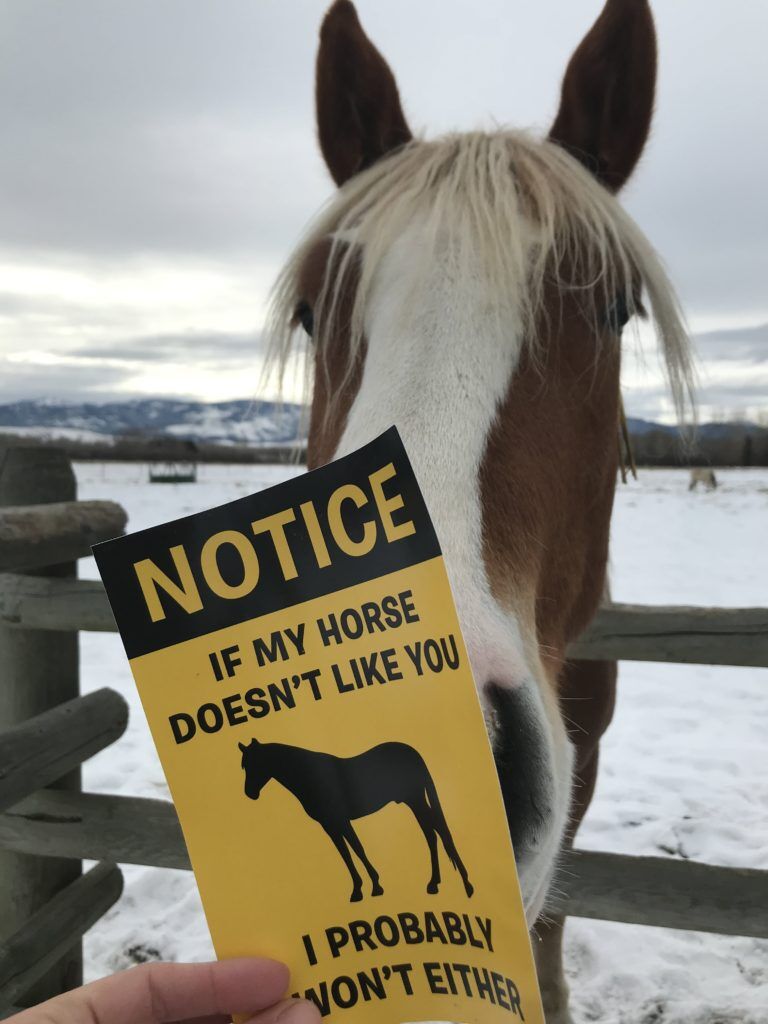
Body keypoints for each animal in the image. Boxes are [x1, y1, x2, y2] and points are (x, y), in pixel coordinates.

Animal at [238, 737, 473, 903]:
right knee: (432, 833)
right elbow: (346, 854)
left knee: (438, 831)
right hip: (413, 800)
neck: (311, 777)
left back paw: (464, 884)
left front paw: (375, 886)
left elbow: (357, 849)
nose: (250, 793)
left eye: (257, 763)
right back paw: (437, 883)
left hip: (414, 799)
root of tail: (412, 752)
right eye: (244, 766)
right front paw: (359, 890)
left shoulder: (340, 820)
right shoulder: (330, 824)